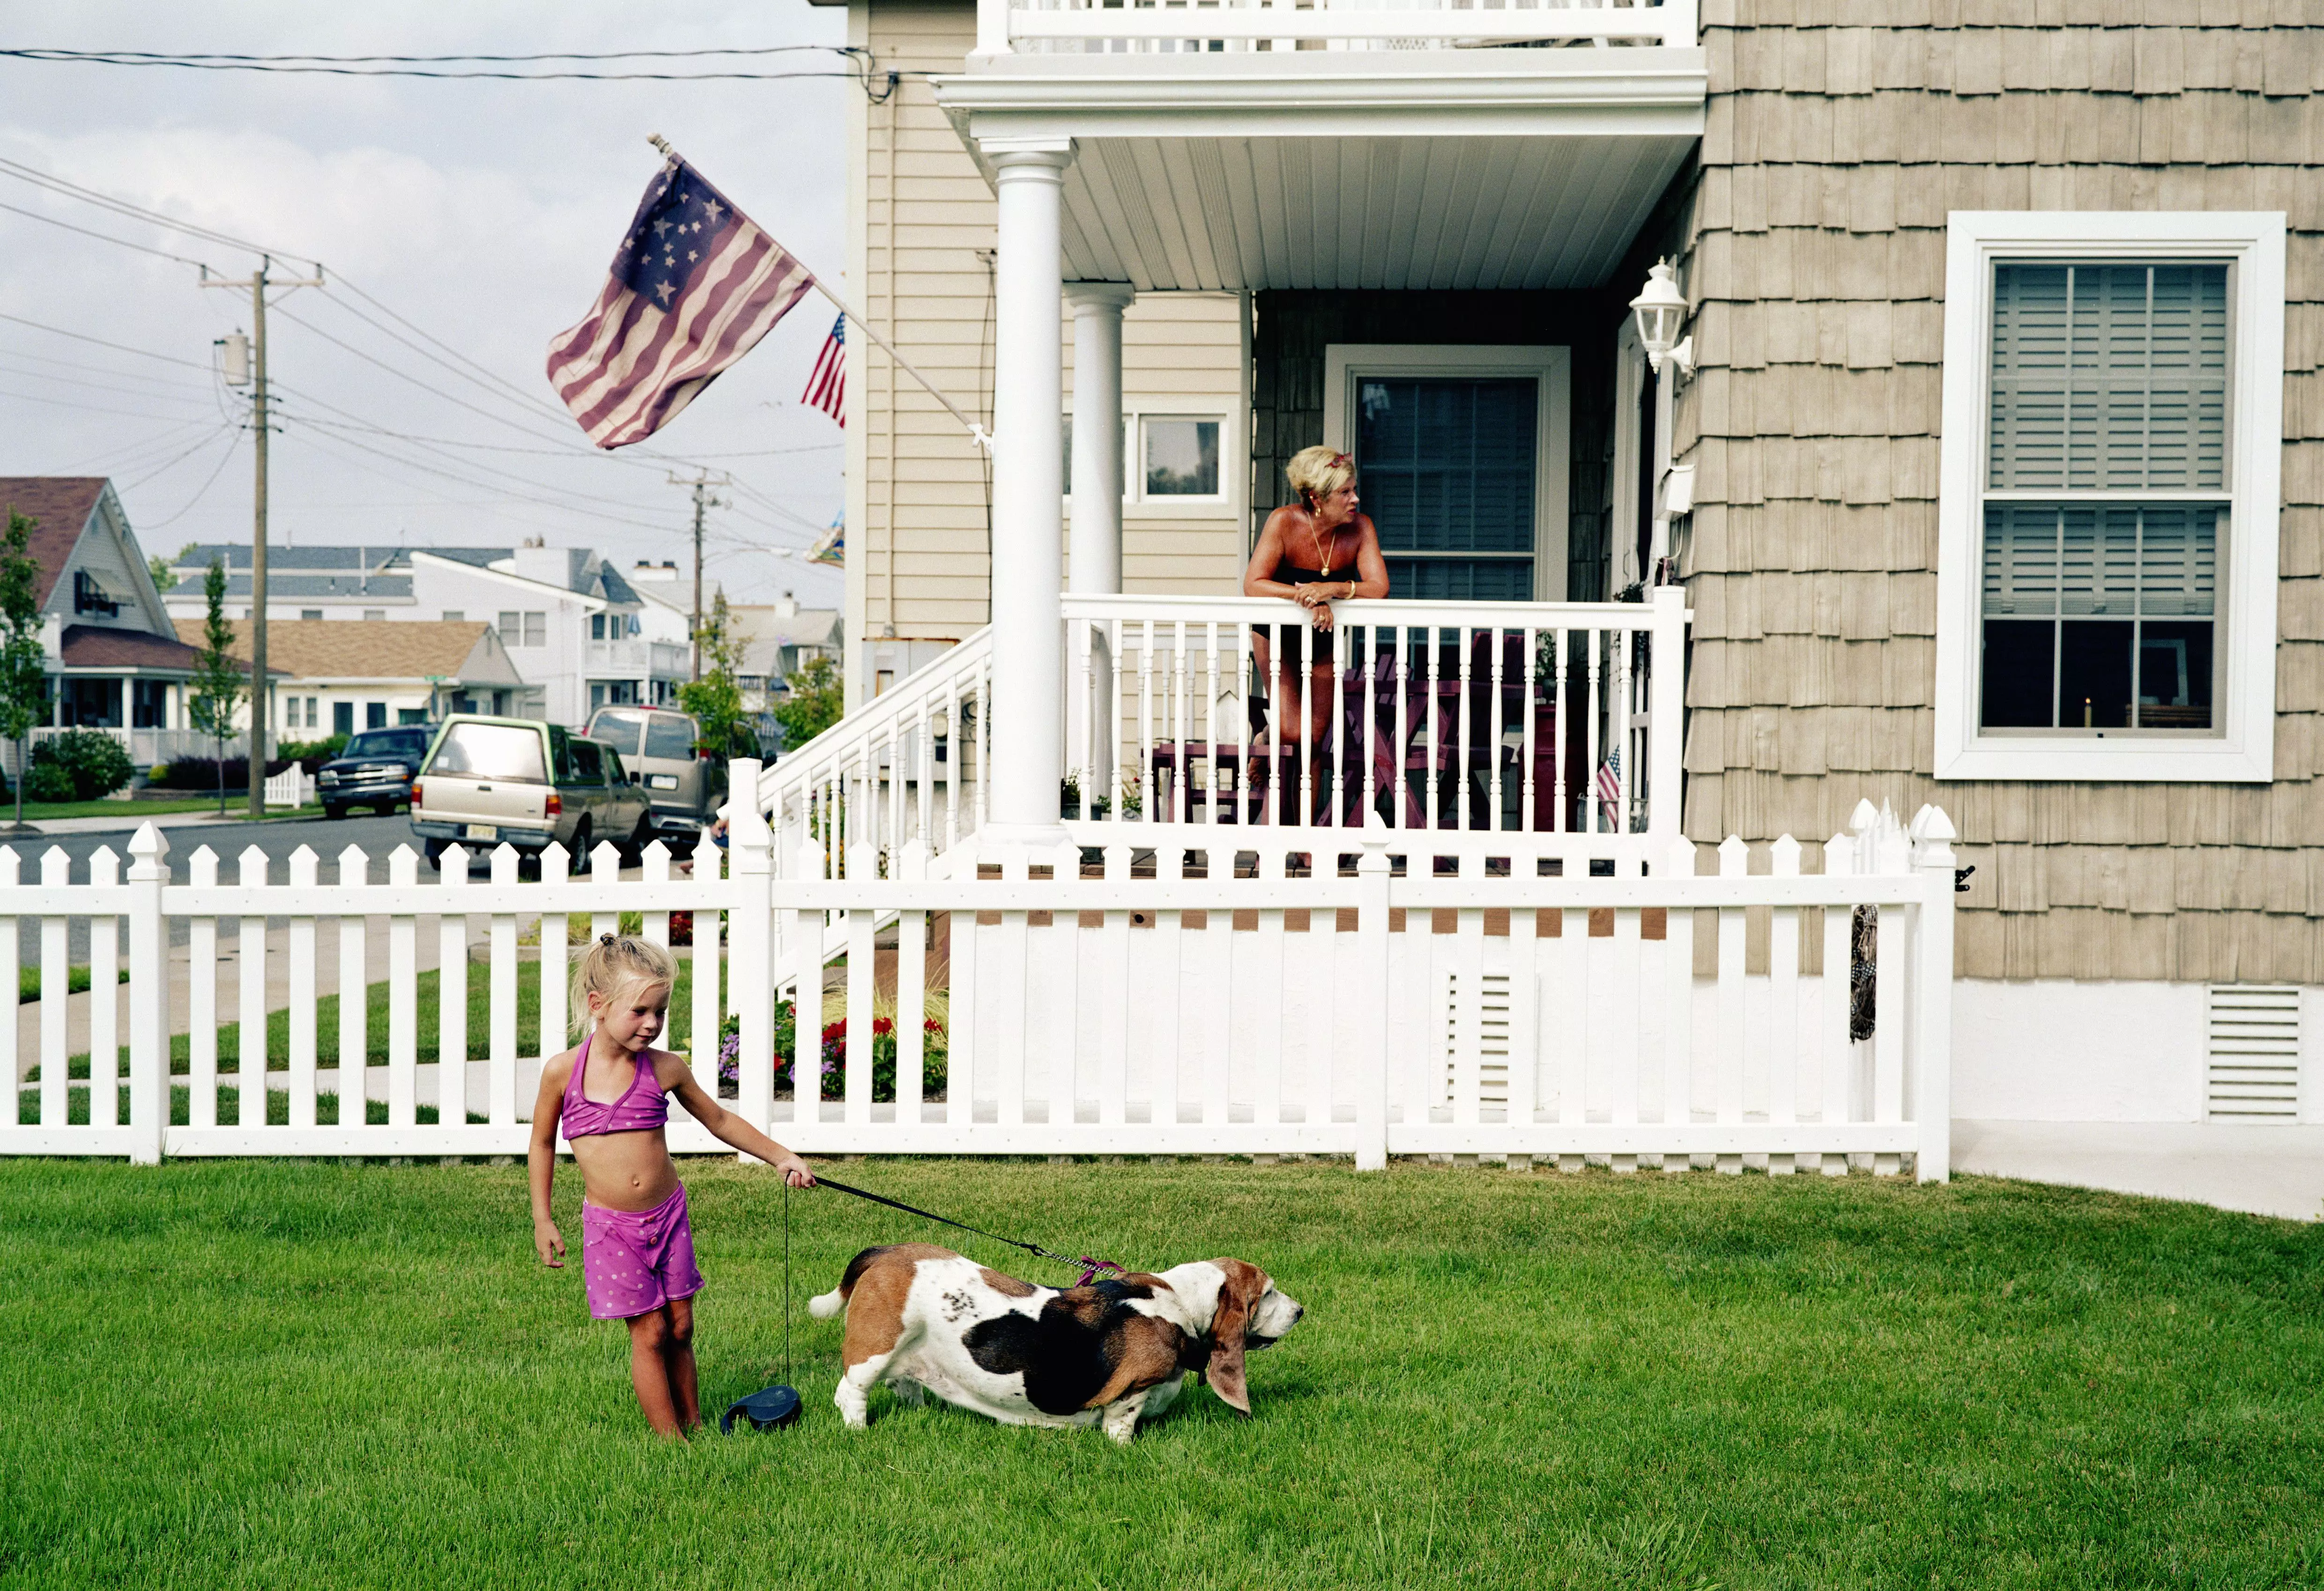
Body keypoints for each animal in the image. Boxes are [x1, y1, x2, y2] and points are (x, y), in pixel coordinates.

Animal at [809, 1245, 1301, 1440]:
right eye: (1268, 1294)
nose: (1301, 1311)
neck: (1179, 1299)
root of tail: (888, 1253)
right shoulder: (1132, 1393)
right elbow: (1121, 1424)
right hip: (874, 1350)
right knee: (851, 1391)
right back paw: (858, 1430)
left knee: (904, 1383)